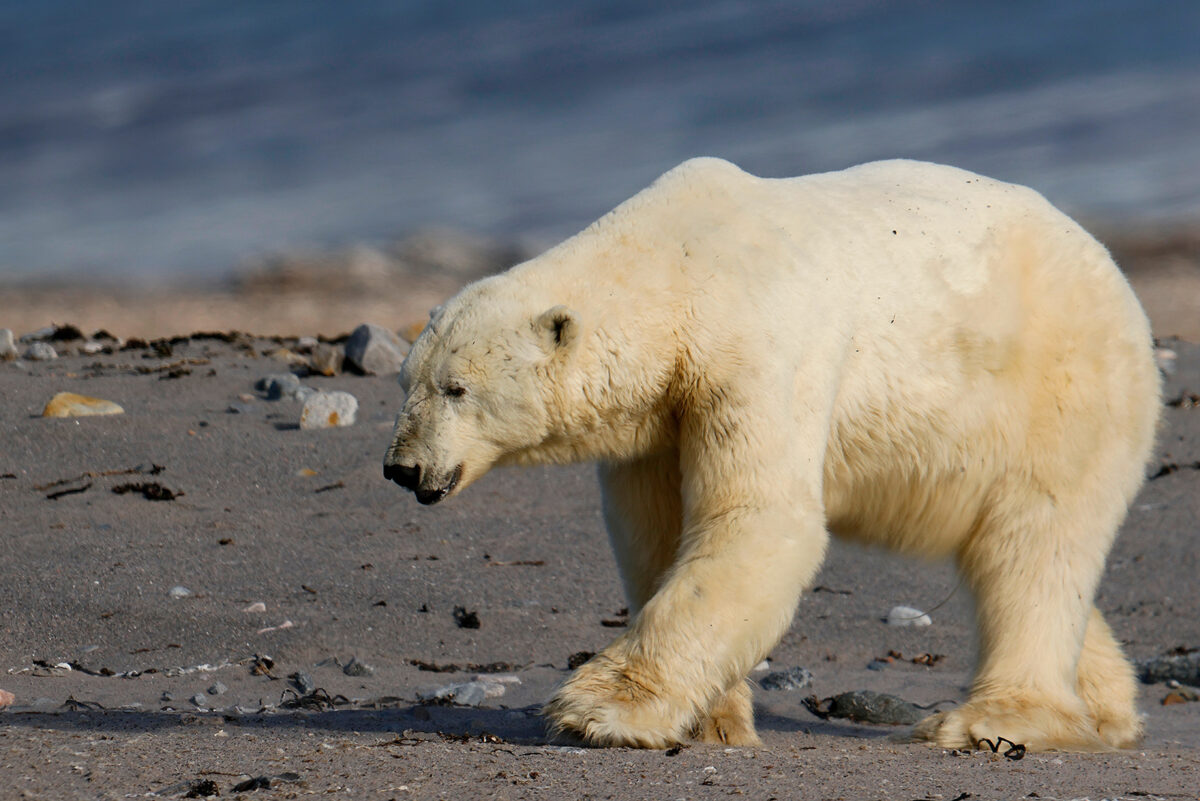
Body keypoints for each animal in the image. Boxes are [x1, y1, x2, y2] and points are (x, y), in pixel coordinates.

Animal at [383, 157, 1160, 752]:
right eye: (406, 381)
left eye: (456, 387)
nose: (401, 466)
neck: (683, 264)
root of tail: (1115, 275)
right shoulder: (660, 421)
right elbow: (657, 537)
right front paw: (713, 721)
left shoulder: (756, 352)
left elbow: (759, 519)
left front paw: (598, 709)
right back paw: (1107, 709)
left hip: (1059, 388)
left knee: (1033, 544)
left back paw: (993, 720)